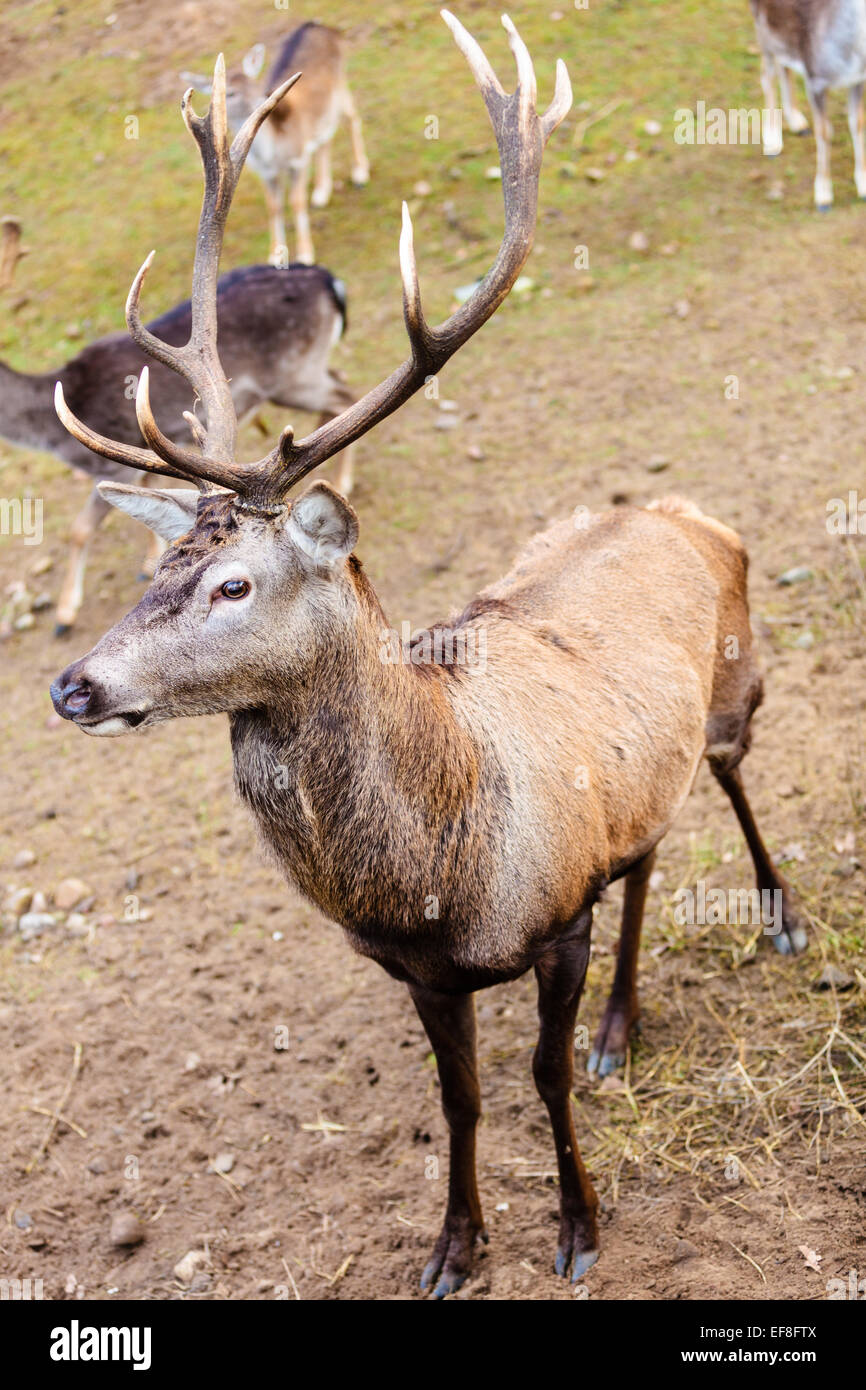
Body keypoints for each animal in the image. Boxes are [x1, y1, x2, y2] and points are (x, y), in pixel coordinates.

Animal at [0, 217, 355, 633]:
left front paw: (65, 613)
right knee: (341, 381)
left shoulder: (112, 465)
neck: (49, 434)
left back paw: (344, 481)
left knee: (345, 393)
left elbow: (79, 529)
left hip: (294, 377)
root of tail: (330, 280)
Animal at [182, 21, 370, 266]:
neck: (271, 155)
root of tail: (322, 26)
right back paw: (321, 192)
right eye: (230, 93)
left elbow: (296, 201)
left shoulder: (298, 158)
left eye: (255, 83)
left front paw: (306, 254)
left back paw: (360, 173)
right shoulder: (265, 172)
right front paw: (275, 254)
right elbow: (274, 207)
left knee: (351, 119)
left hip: (340, 86)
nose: (260, 99)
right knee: (325, 138)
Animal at [751, 0, 866, 208]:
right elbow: (823, 133)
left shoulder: (858, 80)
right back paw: (772, 141)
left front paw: (863, 187)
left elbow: (858, 124)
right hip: (762, 25)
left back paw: (797, 123)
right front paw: (823, 195)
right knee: (767, 74)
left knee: (783, 64)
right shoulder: (815, 81)